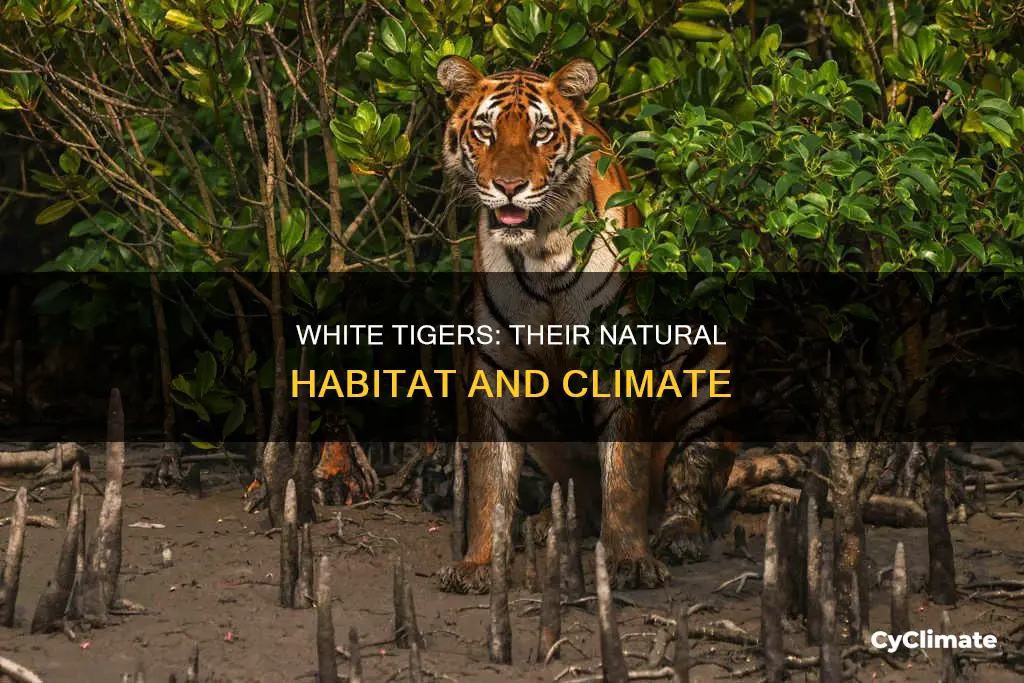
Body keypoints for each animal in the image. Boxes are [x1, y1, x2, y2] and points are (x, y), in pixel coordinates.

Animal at [434, 56, 804, 594]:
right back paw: (546, 524)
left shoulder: (621, 359)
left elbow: (624, 474)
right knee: (581, 496)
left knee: (686, 486)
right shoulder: (497, 367)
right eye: (486, 131)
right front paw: (478, 563)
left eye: (541, 133)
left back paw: (678, 536)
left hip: (706, 379)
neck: (541, 250)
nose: (509, 187)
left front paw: (632, 560)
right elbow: (488, 480)